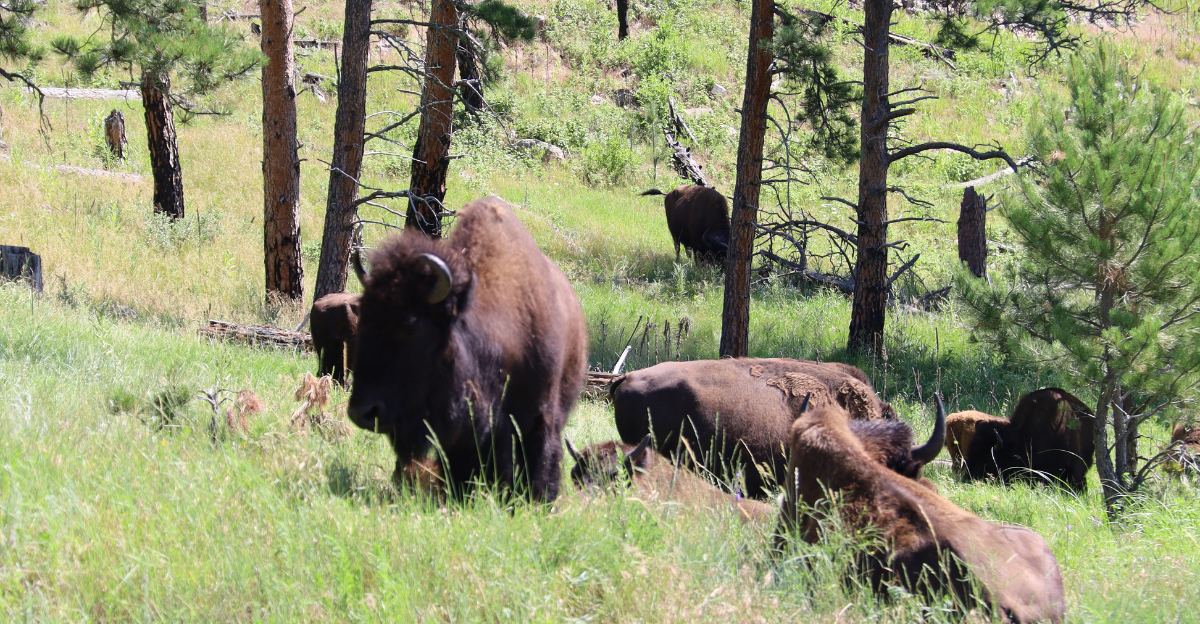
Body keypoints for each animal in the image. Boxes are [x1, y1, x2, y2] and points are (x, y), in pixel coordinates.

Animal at [346, 196, 588, 502]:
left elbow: (540, 463)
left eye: (412, 324)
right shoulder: (466, 427)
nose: (362, 413)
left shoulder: (539, 417)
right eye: (362, 314)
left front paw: (539, 501)